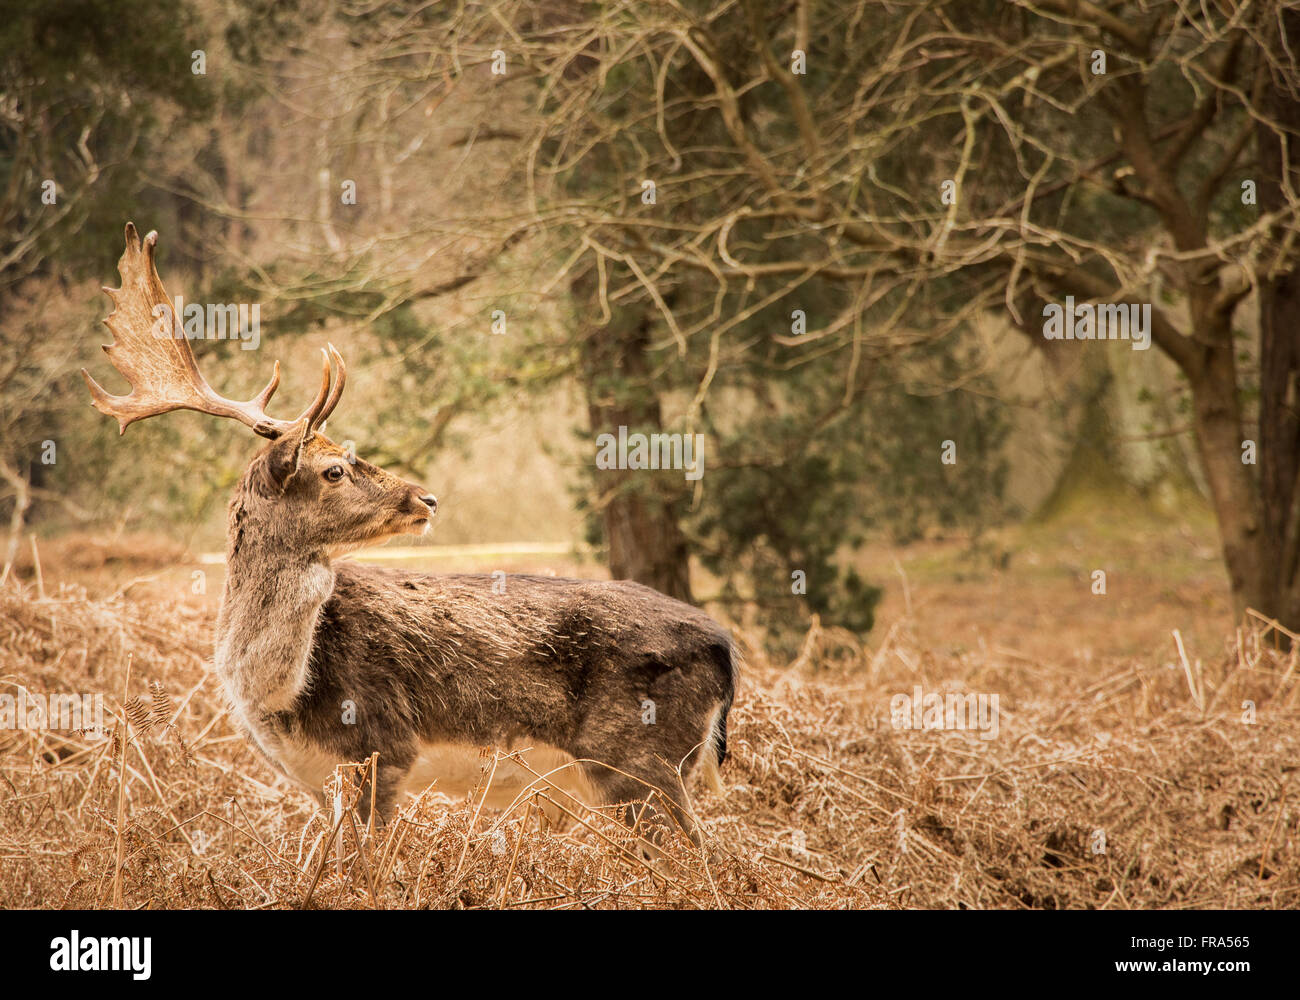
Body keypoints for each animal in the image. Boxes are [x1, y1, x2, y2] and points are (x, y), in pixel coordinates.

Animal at [83, 224, 737, 848]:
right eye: (334, 469)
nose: (426, 498)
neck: (275, 694)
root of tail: (725, 646)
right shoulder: (313, 780)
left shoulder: (382, 749)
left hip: (640, 762)